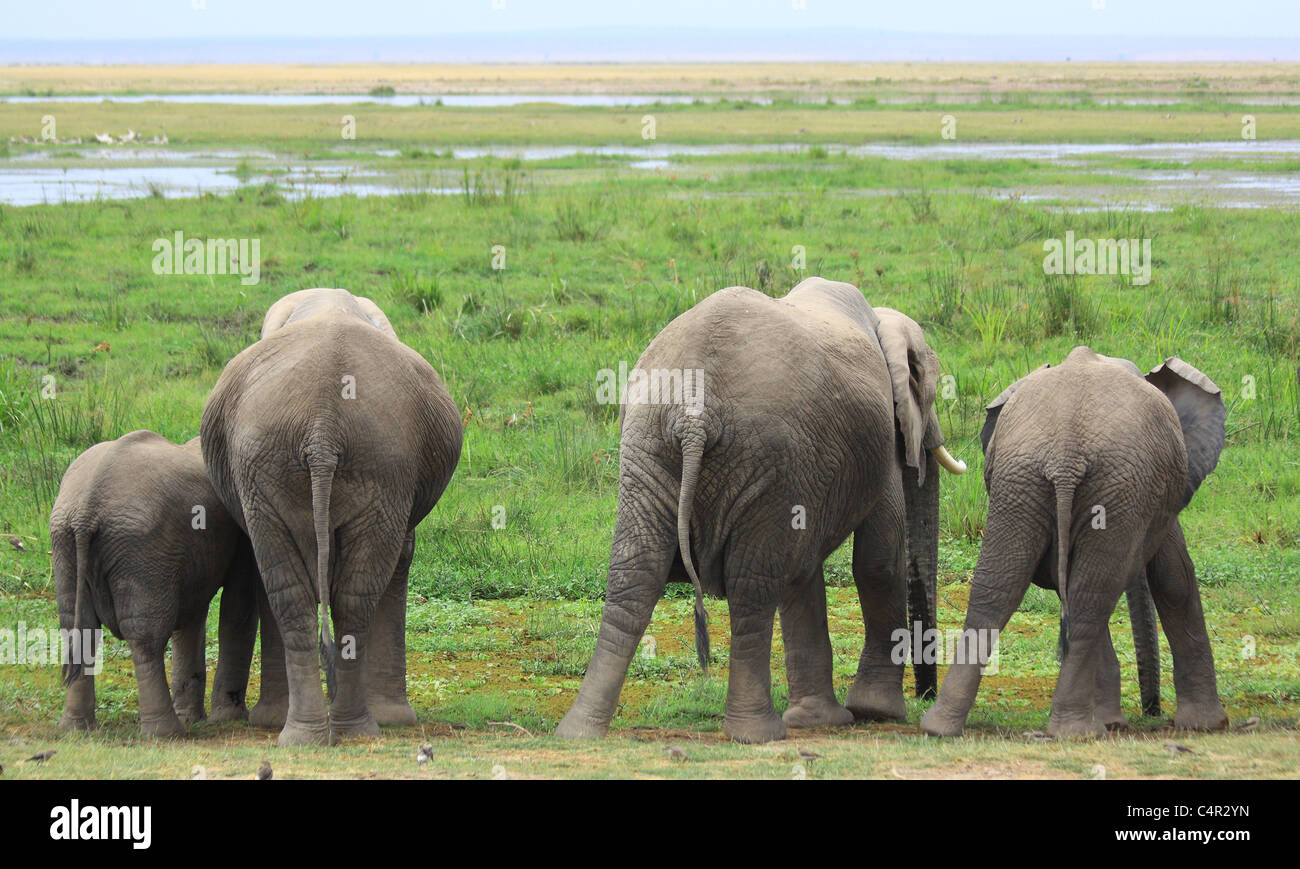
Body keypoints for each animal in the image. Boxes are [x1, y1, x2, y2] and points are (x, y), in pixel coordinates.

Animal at [51, 431, 258, 736]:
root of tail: (86, 509)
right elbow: (238, 604)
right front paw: (224, 718)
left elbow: (193, 616)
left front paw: (193, 717)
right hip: (139, 549)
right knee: (145, 636)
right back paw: (165, 732)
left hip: (69, 544)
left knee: (79, 627)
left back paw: (75, 729)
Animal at [200, 288, 462, 745]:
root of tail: (322, 427)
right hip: (351, 463)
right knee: (336, 595)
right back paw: (329, 730)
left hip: (360, 462)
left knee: (306, 594)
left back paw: (325, 731)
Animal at [556, 278, 968, 744]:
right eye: (929, 390)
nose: (926, 695)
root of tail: (694, 414)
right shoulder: (877, 445)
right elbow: (878, 561)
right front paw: (875, 712)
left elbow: (804, 572)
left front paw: (821, 720)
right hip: (765, 455)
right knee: (751, 585)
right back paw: (757, 733)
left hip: (649, 448)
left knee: (635, 576)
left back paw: (579, 731)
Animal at [920, 346, 1229, 739]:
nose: (1152, 710)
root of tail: (1066, 451)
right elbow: (1175, 577)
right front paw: (1208, 724)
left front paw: (1112, 722)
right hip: (1114, 485)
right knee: (1091, 599)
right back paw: (1075, 731)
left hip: (1022, 481)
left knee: (996, 590)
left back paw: (939, 726)